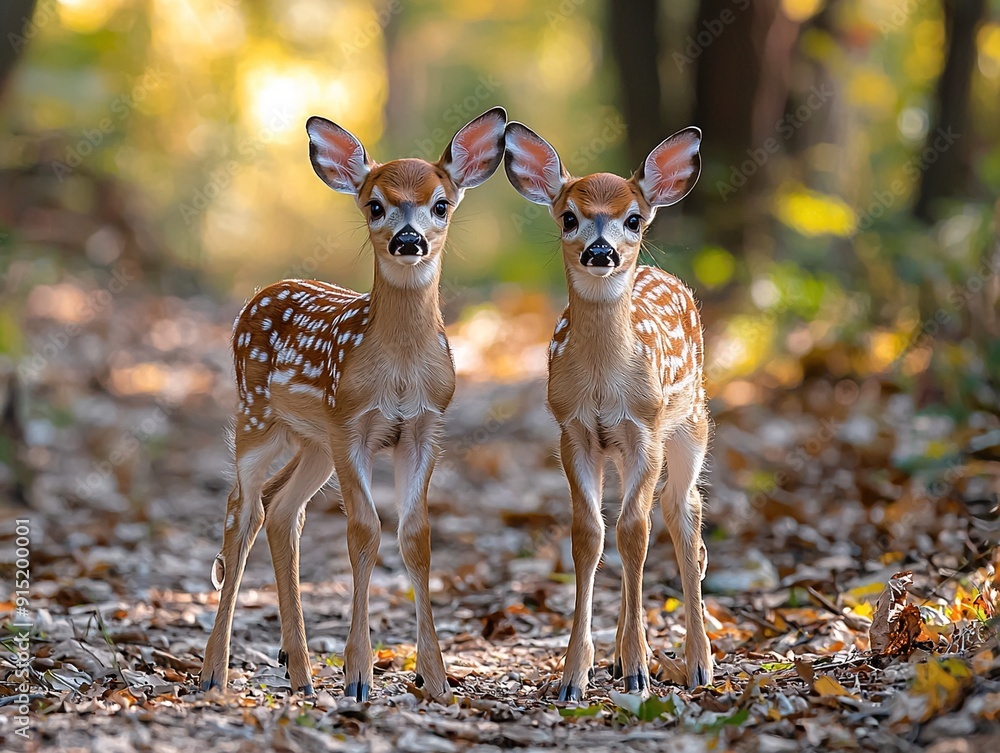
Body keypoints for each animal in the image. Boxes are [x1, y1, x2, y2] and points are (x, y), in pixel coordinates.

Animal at [199, 107, 508, 703]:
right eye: (375, 205)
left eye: (441, 203)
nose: (409, 240)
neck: (399, 371)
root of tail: (257, 295)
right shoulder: (350, 424)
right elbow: (363, 531)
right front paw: (358, 675)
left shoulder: (424, 428)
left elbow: (416, 536)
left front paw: (434, 678)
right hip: (256, 416)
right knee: (241, 511)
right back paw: (213, 672)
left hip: (312, 442)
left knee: (282, 510)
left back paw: (298, 671)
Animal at [502, 122, 713, 700]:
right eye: (569, 216)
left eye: (634, 218)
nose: (601, 251)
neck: (602, 384)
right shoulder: (572, 430)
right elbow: (590, 534)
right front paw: (575, 675)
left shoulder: (645, 428)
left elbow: (634, 532)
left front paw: (640, 669)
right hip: (618, 448)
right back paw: (620, 658)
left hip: (690, 422)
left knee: (683, 516)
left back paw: (699, 663)